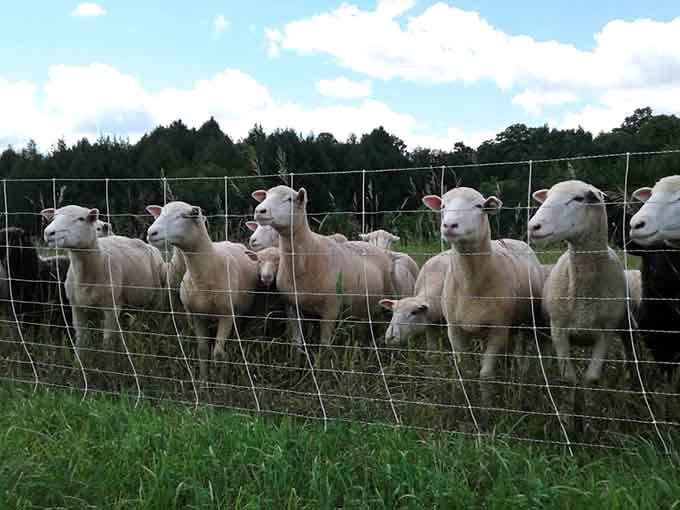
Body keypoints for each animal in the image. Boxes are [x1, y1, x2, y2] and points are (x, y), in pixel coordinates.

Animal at [42, 206, 167, 350]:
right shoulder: (76, 306)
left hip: (157, 296)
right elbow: (81, 339)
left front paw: (107, 355)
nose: (49, 233)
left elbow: (107, 340)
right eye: (53, 217)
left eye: (81, 219)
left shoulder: (111, 307)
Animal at [146, 201, 258, 380]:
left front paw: (221, 381)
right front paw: (203, 381)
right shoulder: (197, 315)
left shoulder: (226, 315)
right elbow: (203, 350)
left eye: (183, 216)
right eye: (160, 213)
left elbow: (218, 353)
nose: (151, 232)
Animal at [252, 185, 394, 347]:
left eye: (289, 199)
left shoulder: (331, 309)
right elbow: (296, 342)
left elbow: (324, 345)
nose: (259, 211)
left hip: (382, 305)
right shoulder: (291, 306)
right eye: (265, 196)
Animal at [423, 187, 546, 409]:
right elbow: (465, 372)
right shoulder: (454, 330)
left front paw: (487, 408)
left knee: (521, 353)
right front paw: (465, 402)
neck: (471, 283)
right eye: (443, 206)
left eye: (478, 206)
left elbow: (486, 375)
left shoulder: (498, 329)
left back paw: (520, 378)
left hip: (525, 322)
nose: (449, 225)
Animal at [528, 180, 631, 430]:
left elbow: (591, 378)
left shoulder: (605, 333)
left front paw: (588, 420)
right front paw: (568, 418)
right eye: (547, 197)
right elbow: (568, 378)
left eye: (578, 199)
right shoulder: (558, 330)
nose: (534, 226)